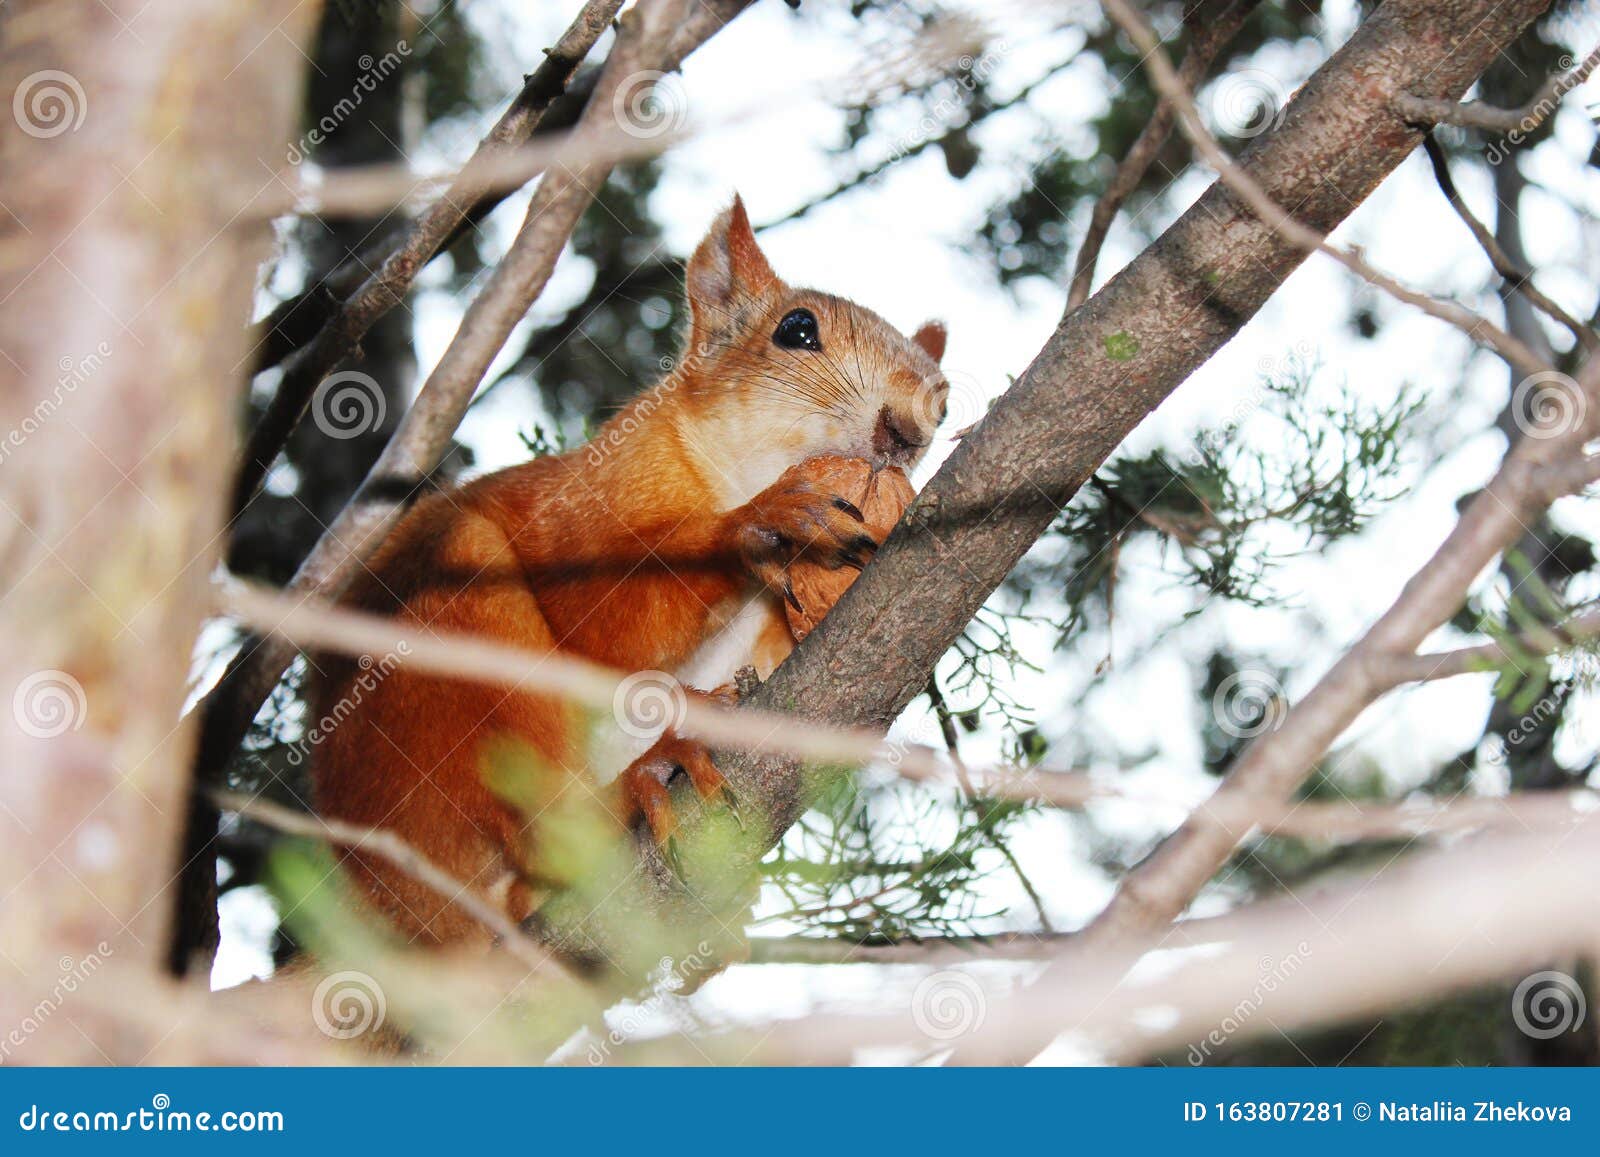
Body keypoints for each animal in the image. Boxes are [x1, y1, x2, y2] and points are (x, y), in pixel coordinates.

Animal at [309, 195, 948, 944]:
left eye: (945, 401)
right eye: (797, 329)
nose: (910, 429)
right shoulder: (585, 507)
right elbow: (609, 623)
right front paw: (764, 523)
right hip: (450, 664)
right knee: (543, 830)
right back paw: (651, 773)